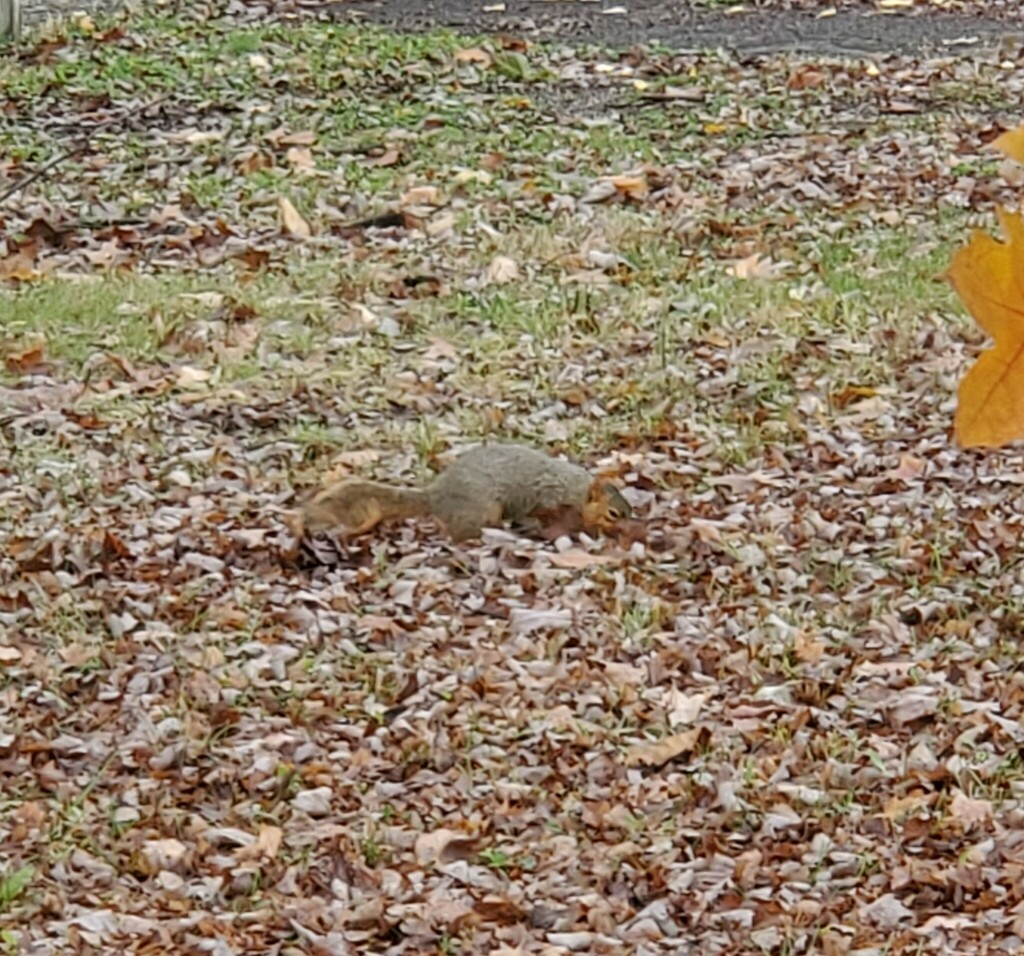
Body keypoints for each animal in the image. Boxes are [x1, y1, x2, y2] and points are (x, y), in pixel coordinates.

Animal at [299, 443, 632, 541]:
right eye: (613, 513)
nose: (630, 530)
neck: (575, 490)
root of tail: (436, 496)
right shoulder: (546, 497)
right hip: (481, 508)